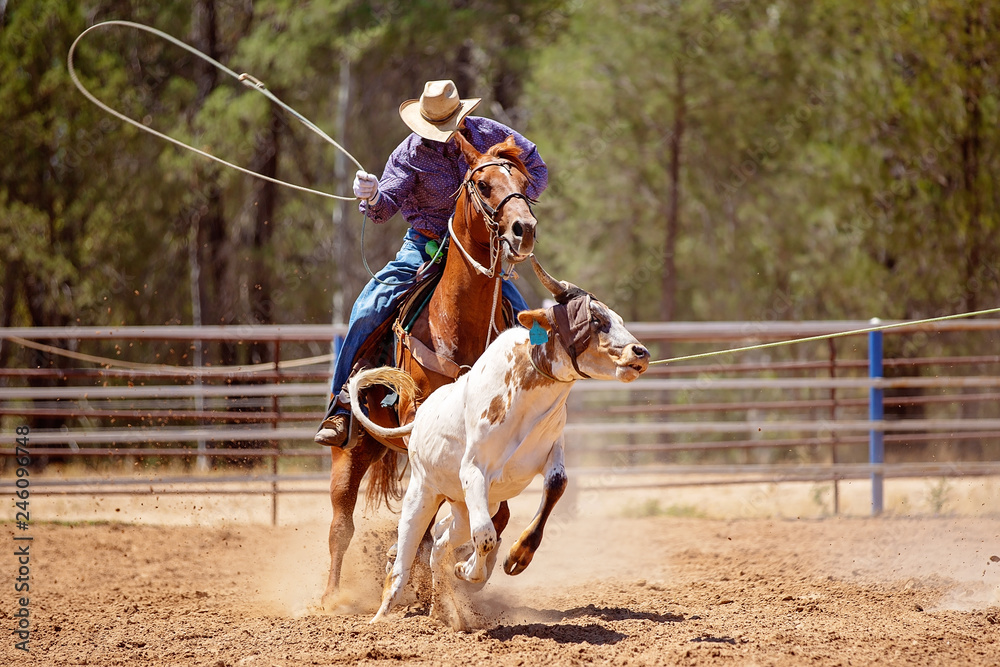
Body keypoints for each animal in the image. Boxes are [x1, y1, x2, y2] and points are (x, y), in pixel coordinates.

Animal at [347, 256, 650, 630]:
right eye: (595, 319)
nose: (641, 352)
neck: (523, 394)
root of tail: (420, 418)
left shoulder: (551, 454)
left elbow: (556, 486)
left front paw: (517, 556)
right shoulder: (474, 472)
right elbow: (486, 536)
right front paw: (470, 571)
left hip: (463, 507)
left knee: (440, 545)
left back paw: (443, 612)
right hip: (422, 494)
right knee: (403, 562)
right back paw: (380, 618)